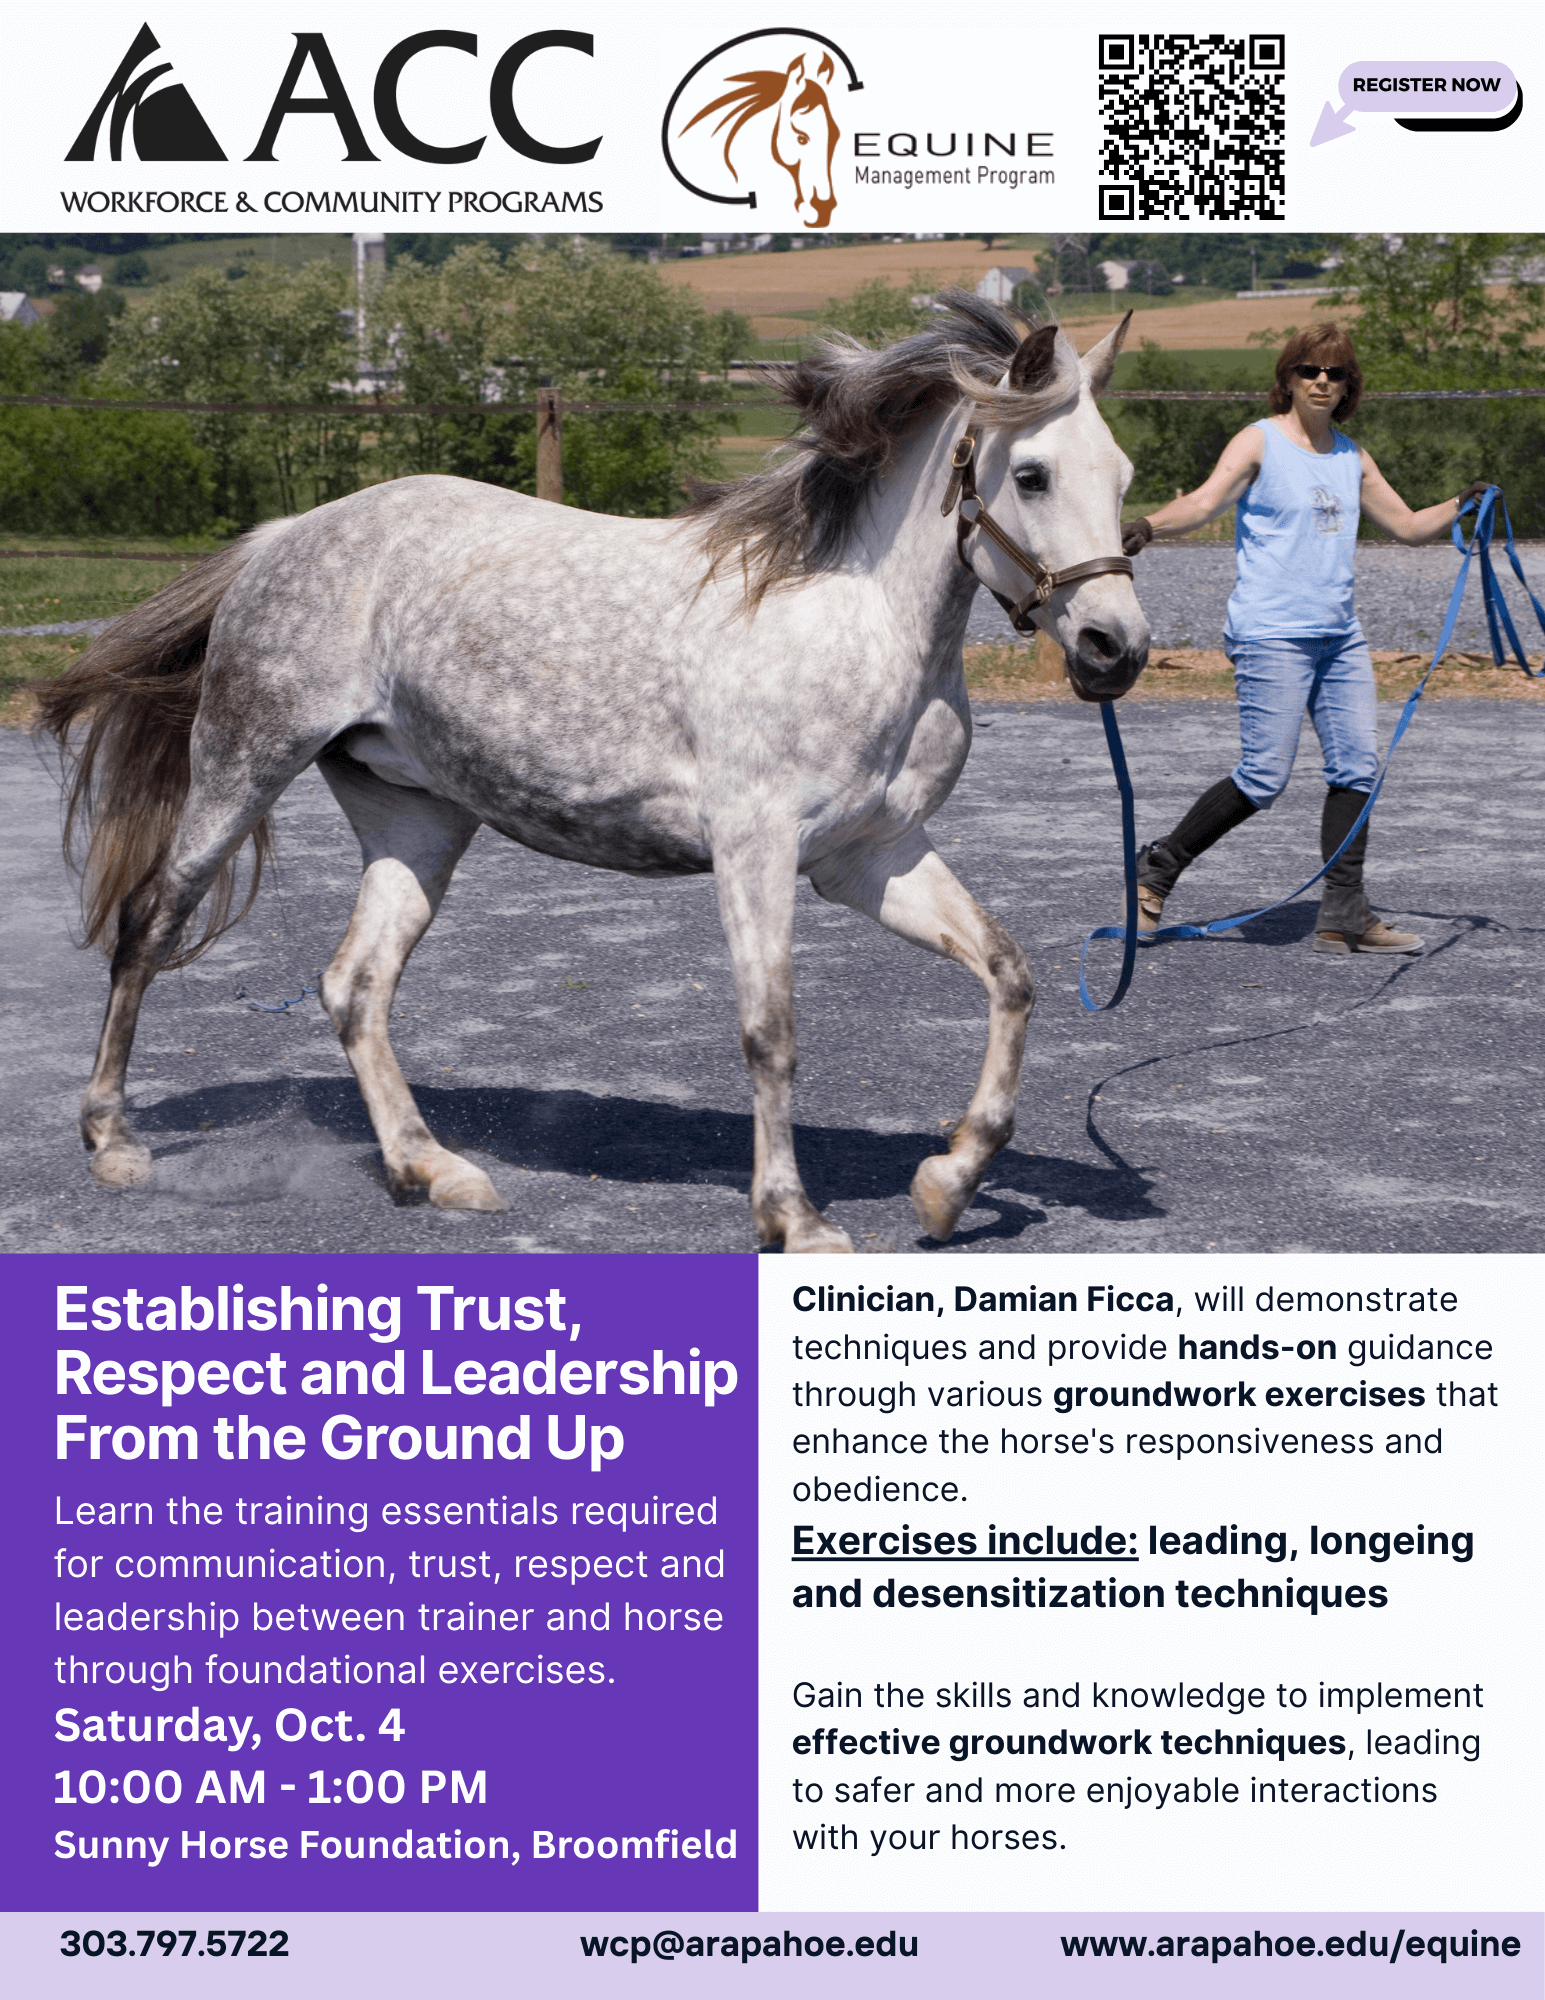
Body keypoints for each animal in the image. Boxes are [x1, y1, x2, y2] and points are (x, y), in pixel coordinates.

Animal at [37, 294, 1147, 1254]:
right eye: (1032, 474)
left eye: (1124, 474)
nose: (1114, 648)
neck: (856, 622)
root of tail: (284, 538)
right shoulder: (756, 850)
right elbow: (771, 1032)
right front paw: (795, 1219)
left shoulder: (871, 857)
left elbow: (1009, 975)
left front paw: (949, 1182)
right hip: (243, 766)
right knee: (148, 928)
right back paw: (114, 1143)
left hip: (416, 818)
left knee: (355, 984)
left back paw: (432, 1170)